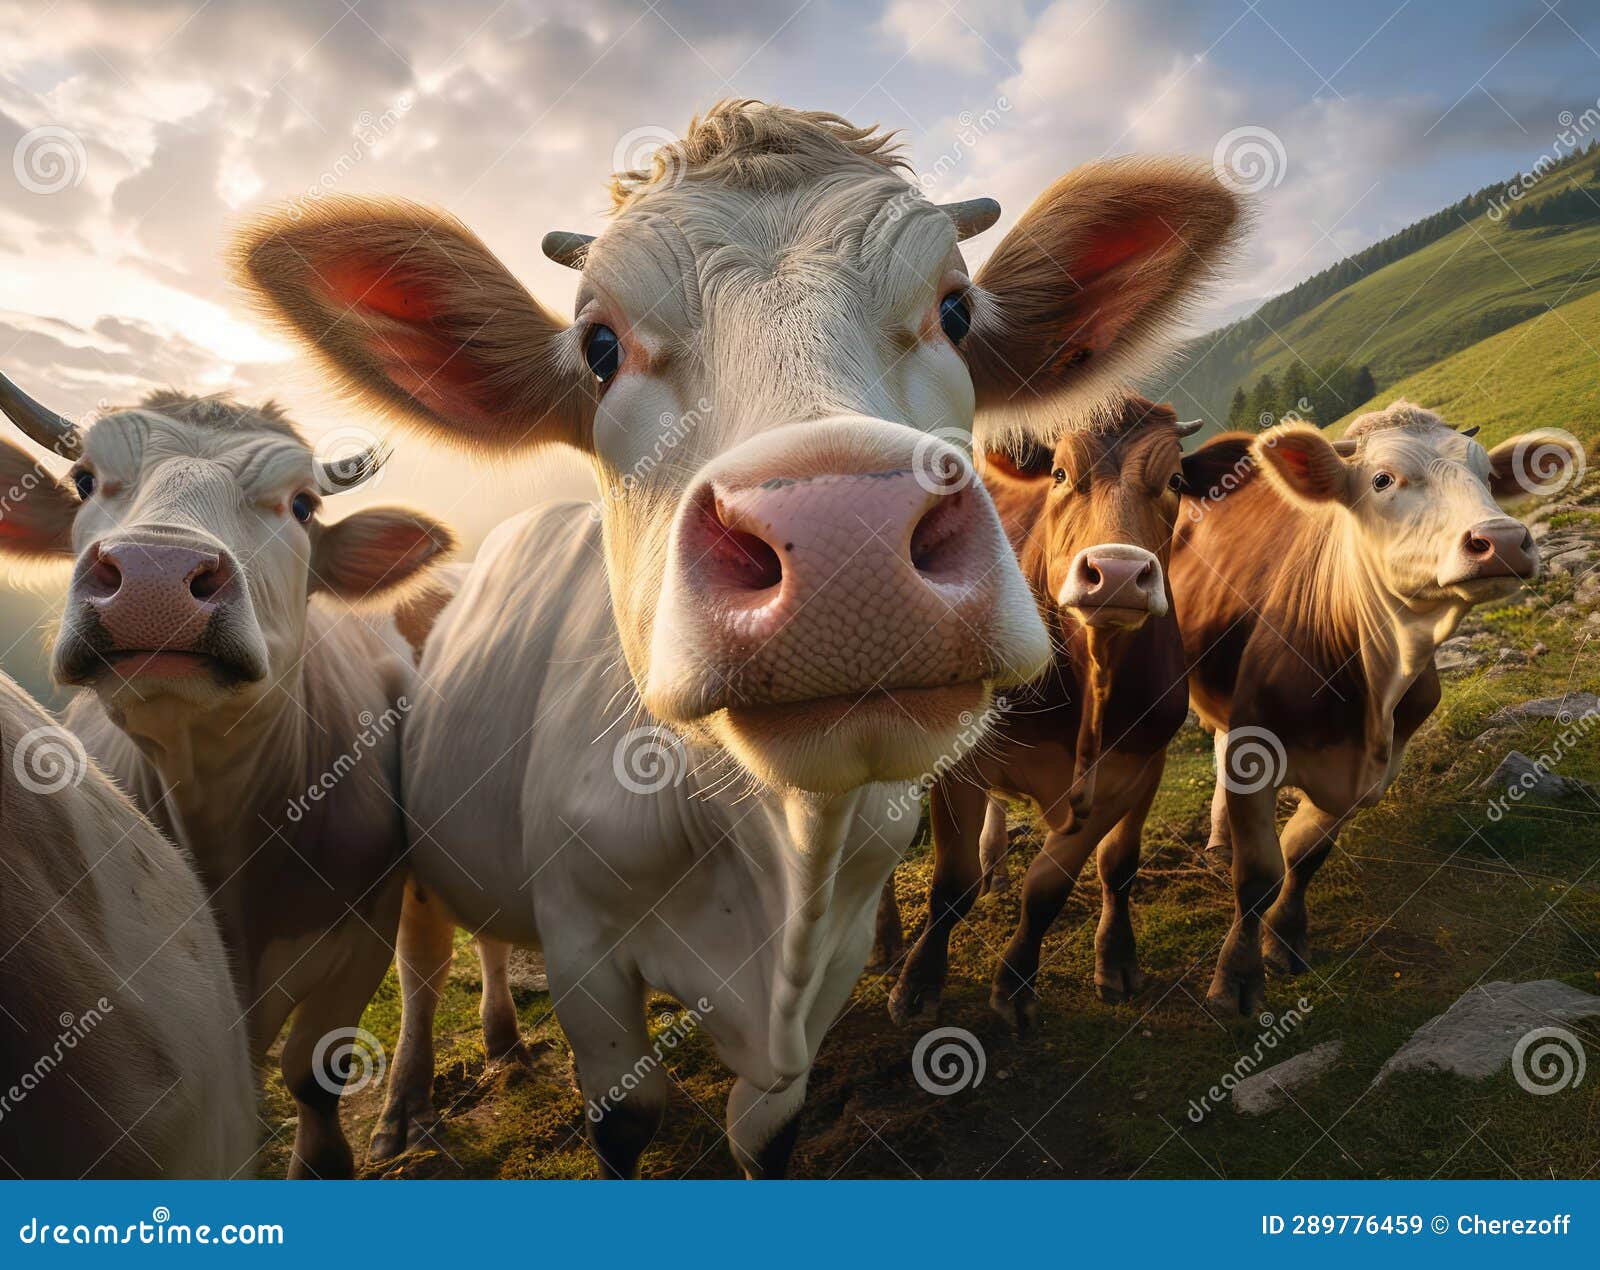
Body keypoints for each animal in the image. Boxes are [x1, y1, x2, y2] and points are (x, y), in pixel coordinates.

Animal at [881, 398, 1207, 1033]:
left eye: (1176, 481)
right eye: (1059, 474)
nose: (1118, 574)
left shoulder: (1135, 769)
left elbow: (1073, 879)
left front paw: (1029, 980)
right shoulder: (961, 758)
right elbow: (950, 884)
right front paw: (919, 983)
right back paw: (884, 938)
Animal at [1173, 402, 1581, 1015]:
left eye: (1489, 478)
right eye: (1383, 480)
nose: (1504, 539)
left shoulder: (1374, 769)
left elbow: (1304, 854)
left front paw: (1285, 938)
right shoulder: (1256, 748)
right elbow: (1260, 874)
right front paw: (1236, 980)